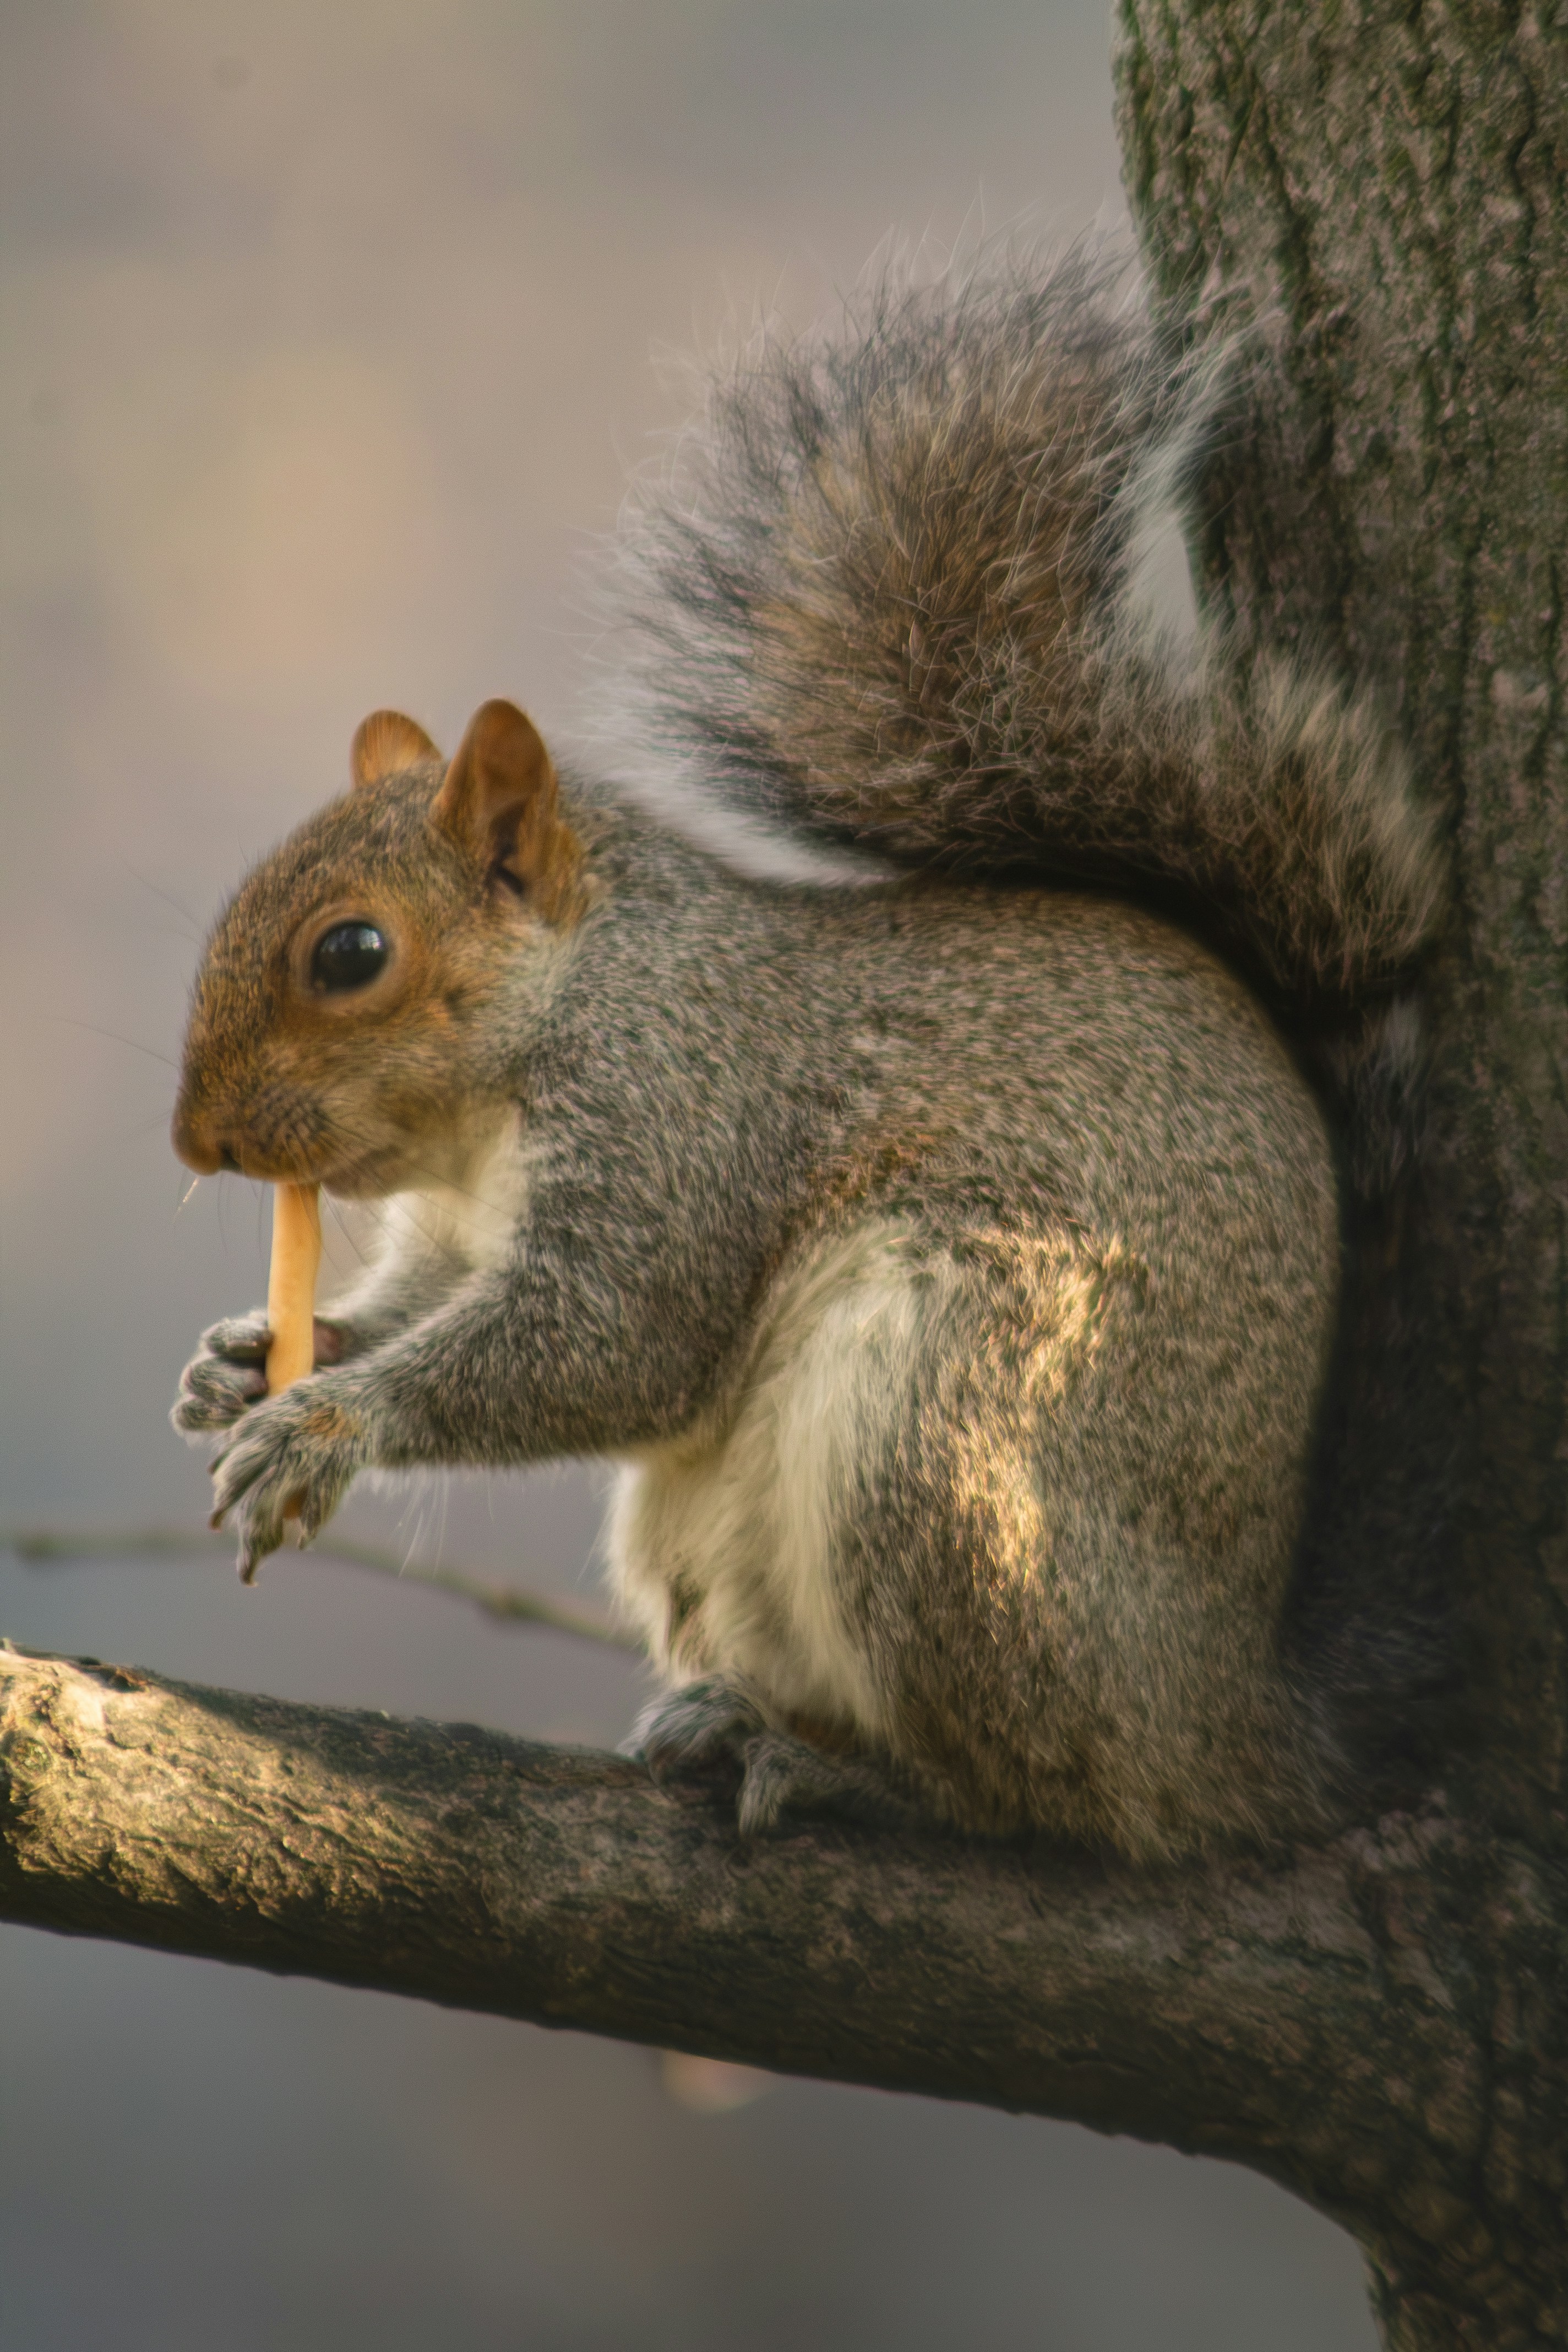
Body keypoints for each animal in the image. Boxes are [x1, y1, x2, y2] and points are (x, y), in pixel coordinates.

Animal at [171, 252, 1442, 1859]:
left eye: (350, 953)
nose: (195, 1141)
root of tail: (1245, 1724)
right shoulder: (456, 1234)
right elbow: (423, 1305)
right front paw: (248, 1362)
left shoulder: (680, 1131)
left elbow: (606, 1344)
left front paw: (323, 1427)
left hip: (943, 1449)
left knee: (1064, 1801)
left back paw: (866, 1776)